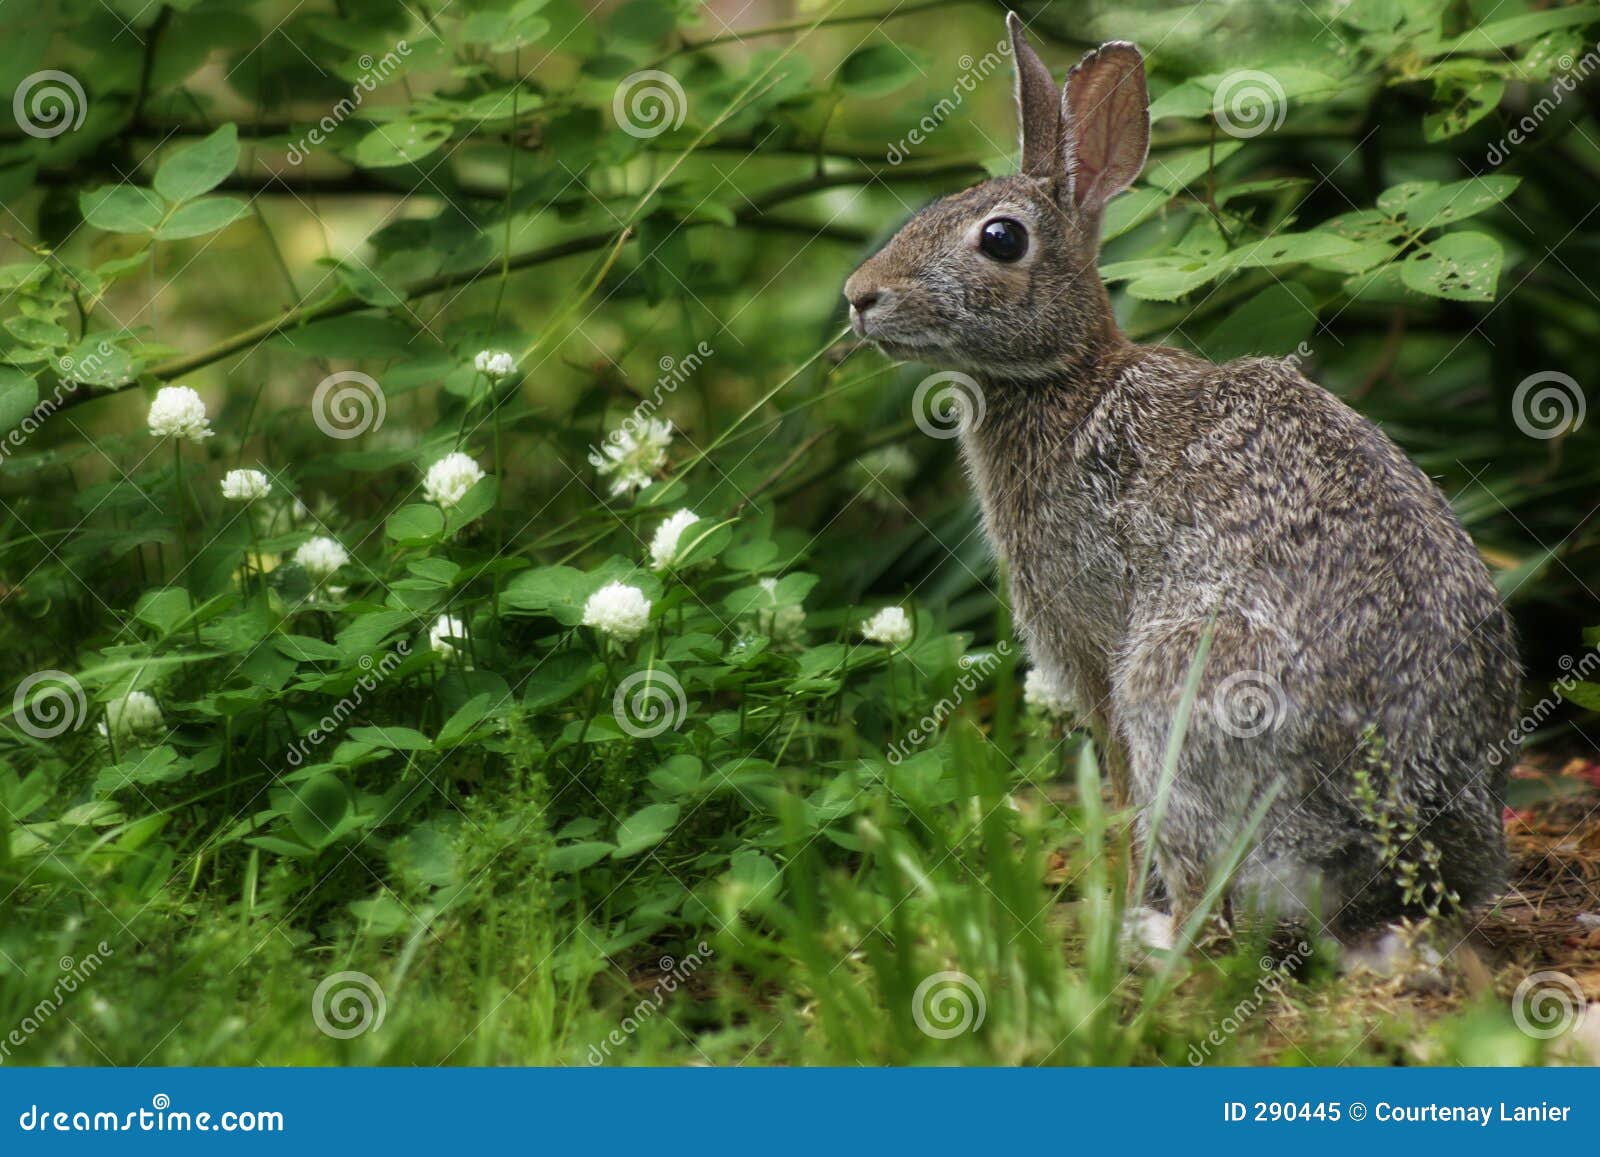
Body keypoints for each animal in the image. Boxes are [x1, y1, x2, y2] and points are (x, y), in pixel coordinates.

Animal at [843, 12, 1518, 940]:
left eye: (1000, 238)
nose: (858, 295)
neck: (1066, 376)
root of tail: (1400, 827)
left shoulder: (1096, 651)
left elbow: (1125, 793)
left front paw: (1126, 898)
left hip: (1178, 683)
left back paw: (1153, 934)